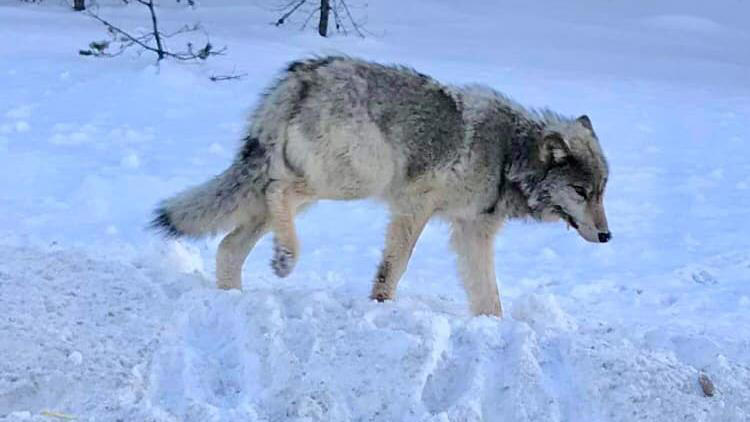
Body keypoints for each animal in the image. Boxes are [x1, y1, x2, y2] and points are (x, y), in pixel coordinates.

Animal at [152, 56, 610, 317]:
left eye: (602, 191)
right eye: (582, 192)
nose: (607, 236)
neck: (506, 157)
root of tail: (304, 74)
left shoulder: (472, 233)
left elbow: (489, 298)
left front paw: (491, 330)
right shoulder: (413, 208)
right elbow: (394, 268)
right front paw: (381, 307)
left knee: (230, 245)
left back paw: (236, 298)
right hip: (358, 177)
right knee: (279, 190)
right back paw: (285, 259)